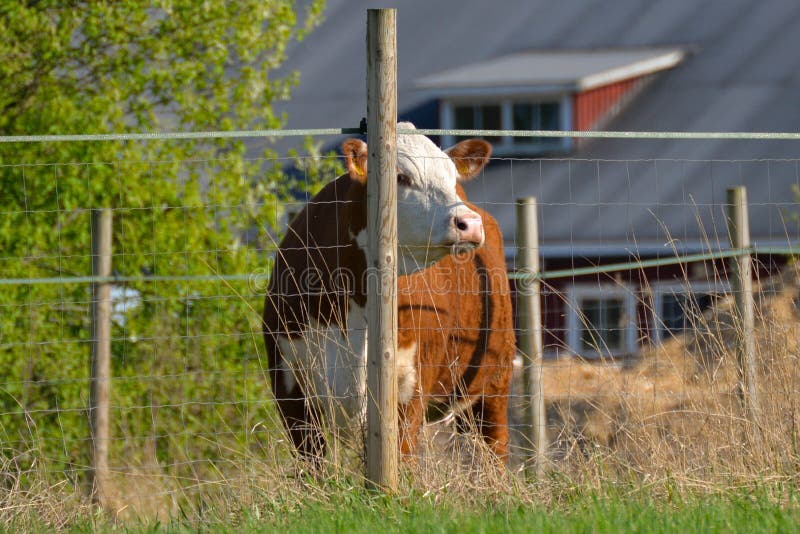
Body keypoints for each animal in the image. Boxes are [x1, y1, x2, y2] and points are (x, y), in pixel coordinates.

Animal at [262, 123, 514, 467]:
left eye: (452, 176)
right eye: (400, 176)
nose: (468, 224)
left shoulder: (410, 390)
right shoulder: (288, 387)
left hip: (493, 384)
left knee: (493, 450)